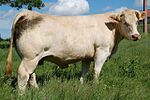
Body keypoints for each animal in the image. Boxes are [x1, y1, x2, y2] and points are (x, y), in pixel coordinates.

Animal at [5, 9, 145, 94]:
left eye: (137, 21)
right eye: (125, 22)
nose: (136, 36)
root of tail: (29, 13)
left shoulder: (87, 56)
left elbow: (84, 71)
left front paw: (81, 85)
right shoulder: (102, 51)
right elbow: (96, 71)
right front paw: (95, 86)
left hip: (31, 58)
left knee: (31, 76)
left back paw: (37, 90)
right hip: (30, 57)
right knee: (23, 75)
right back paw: (22, 94)